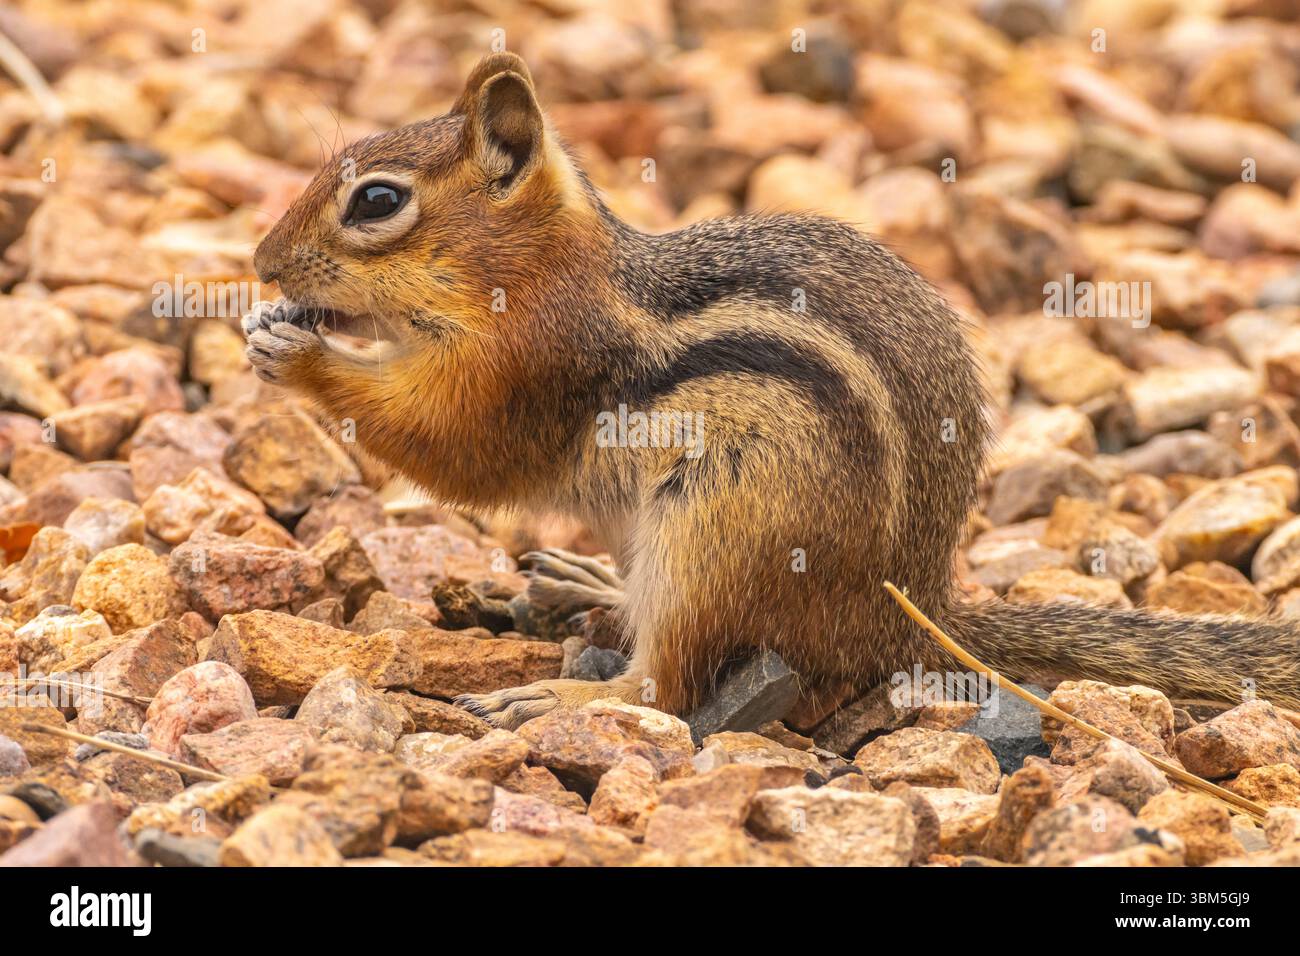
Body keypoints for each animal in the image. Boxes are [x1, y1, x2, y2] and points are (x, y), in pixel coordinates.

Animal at [244, 53, 1300, 730]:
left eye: (377, 200)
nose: (260, 261)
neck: (541, 270)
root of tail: (908, 611)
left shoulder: (529, 369)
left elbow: (456, 445)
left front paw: (294, 355)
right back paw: (589, 584)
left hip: (719, 531)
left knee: (666, 691)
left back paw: (568, 692)